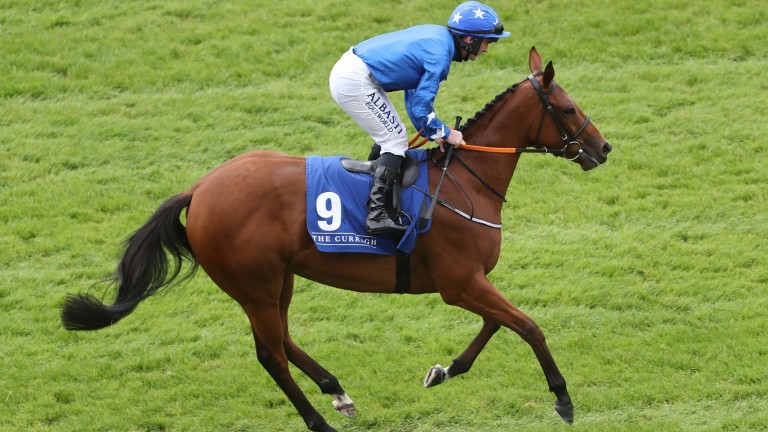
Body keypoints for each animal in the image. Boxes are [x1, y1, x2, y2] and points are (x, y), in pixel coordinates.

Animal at [61, 47, 612, 432]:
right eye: (566, 108)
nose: (604, 148)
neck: (465, 179)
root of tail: (198, 190)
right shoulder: (460, 283)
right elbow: (528, 326)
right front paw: (563, 398)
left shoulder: (469, 282)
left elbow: (498, 325)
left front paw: (444, 370)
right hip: (255, 284)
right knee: (271, 354)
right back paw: (320, 419)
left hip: (276, 279)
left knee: (281, 339)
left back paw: (337, 391)